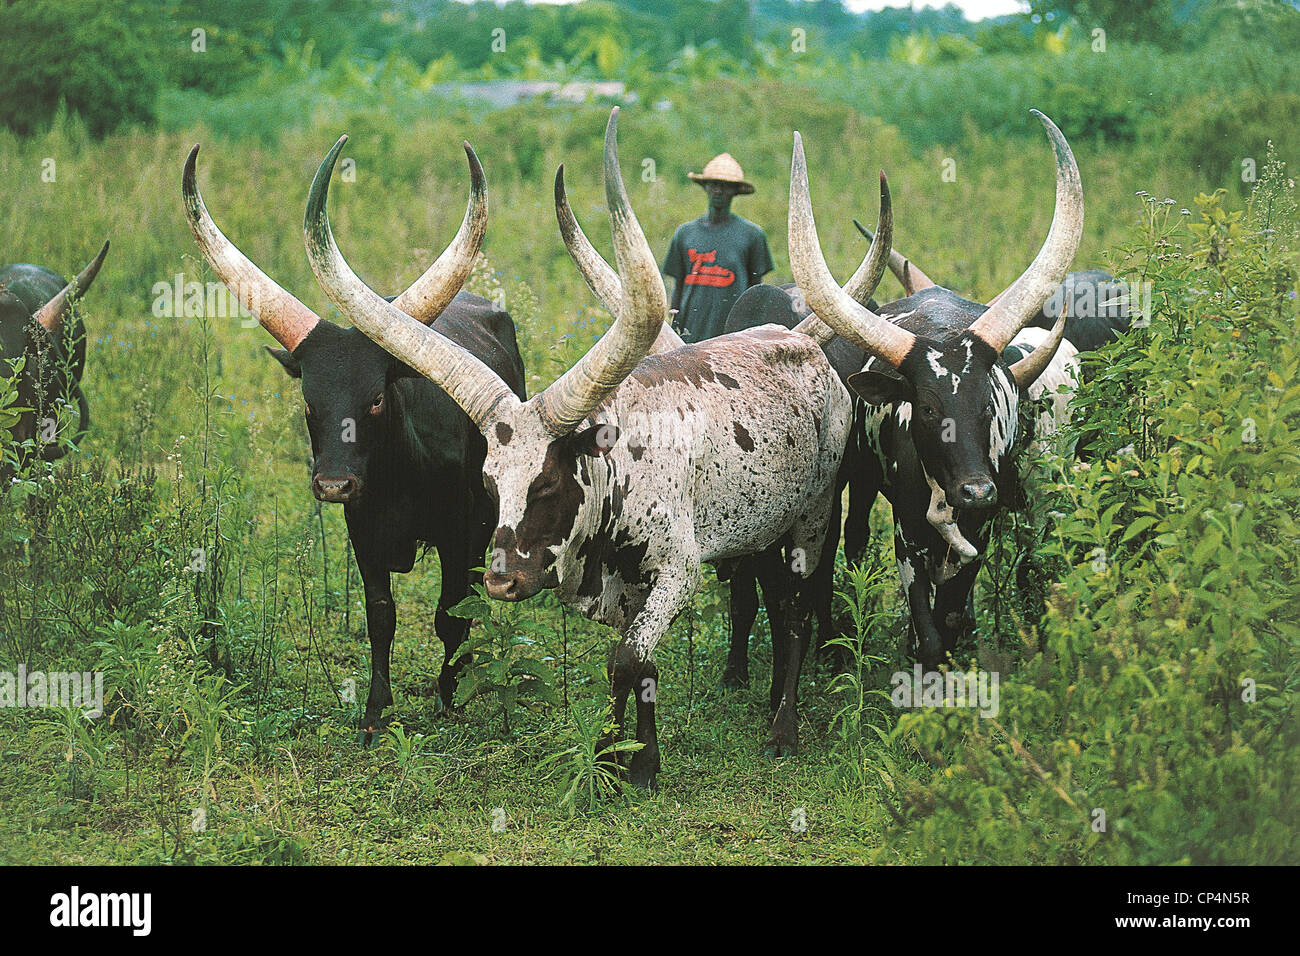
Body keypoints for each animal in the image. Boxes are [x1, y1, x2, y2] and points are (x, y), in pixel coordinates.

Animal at [182, 143, 526, 743]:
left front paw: (447, 696)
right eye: (308, 402)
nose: (334, 483)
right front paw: (374, 714)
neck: (400, 473)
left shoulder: (459, 528)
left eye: (376, 399)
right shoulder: (361, 529)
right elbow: (380, 615)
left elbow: (450, 612)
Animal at [302, 108, 854, 790]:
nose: (501, 581)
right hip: (762, 528)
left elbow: (628, 659)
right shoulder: (619, 590)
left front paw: (639, 769)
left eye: (546, 484)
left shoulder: (678, 571)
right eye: (489, 484)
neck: (622, 468)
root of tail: (805, 347)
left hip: (813, 517)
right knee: (775, 604)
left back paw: (783, 728)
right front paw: (616, 755)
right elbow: (634, 669)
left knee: (798, 611)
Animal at [788, 110, 1084, 671]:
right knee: (855, 539)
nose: (977, 491)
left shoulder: (982, 531)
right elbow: (926, 631)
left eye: (989, 402)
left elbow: (950, 615)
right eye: (925, 408)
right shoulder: (907, 537)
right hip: (862, 483)